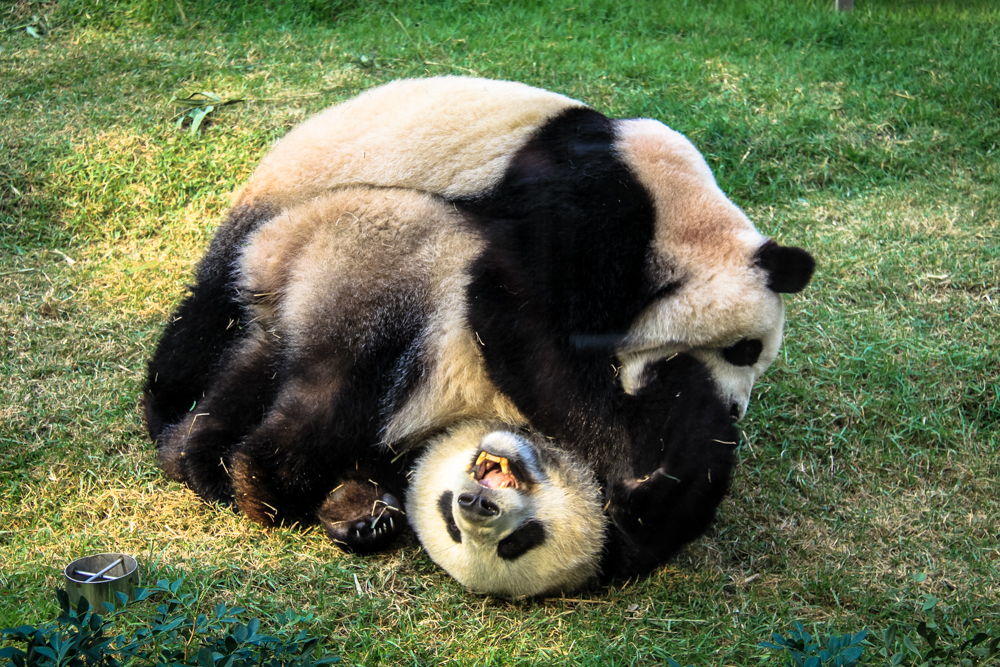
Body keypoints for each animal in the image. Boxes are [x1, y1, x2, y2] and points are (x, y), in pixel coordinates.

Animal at [143, 77, 813, 583]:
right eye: (744, 350)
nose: (737, 410)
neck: (679, 215)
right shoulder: (587, 210)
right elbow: (512, 313)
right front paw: (632, 462)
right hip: (312, 228)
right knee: (219, 334)